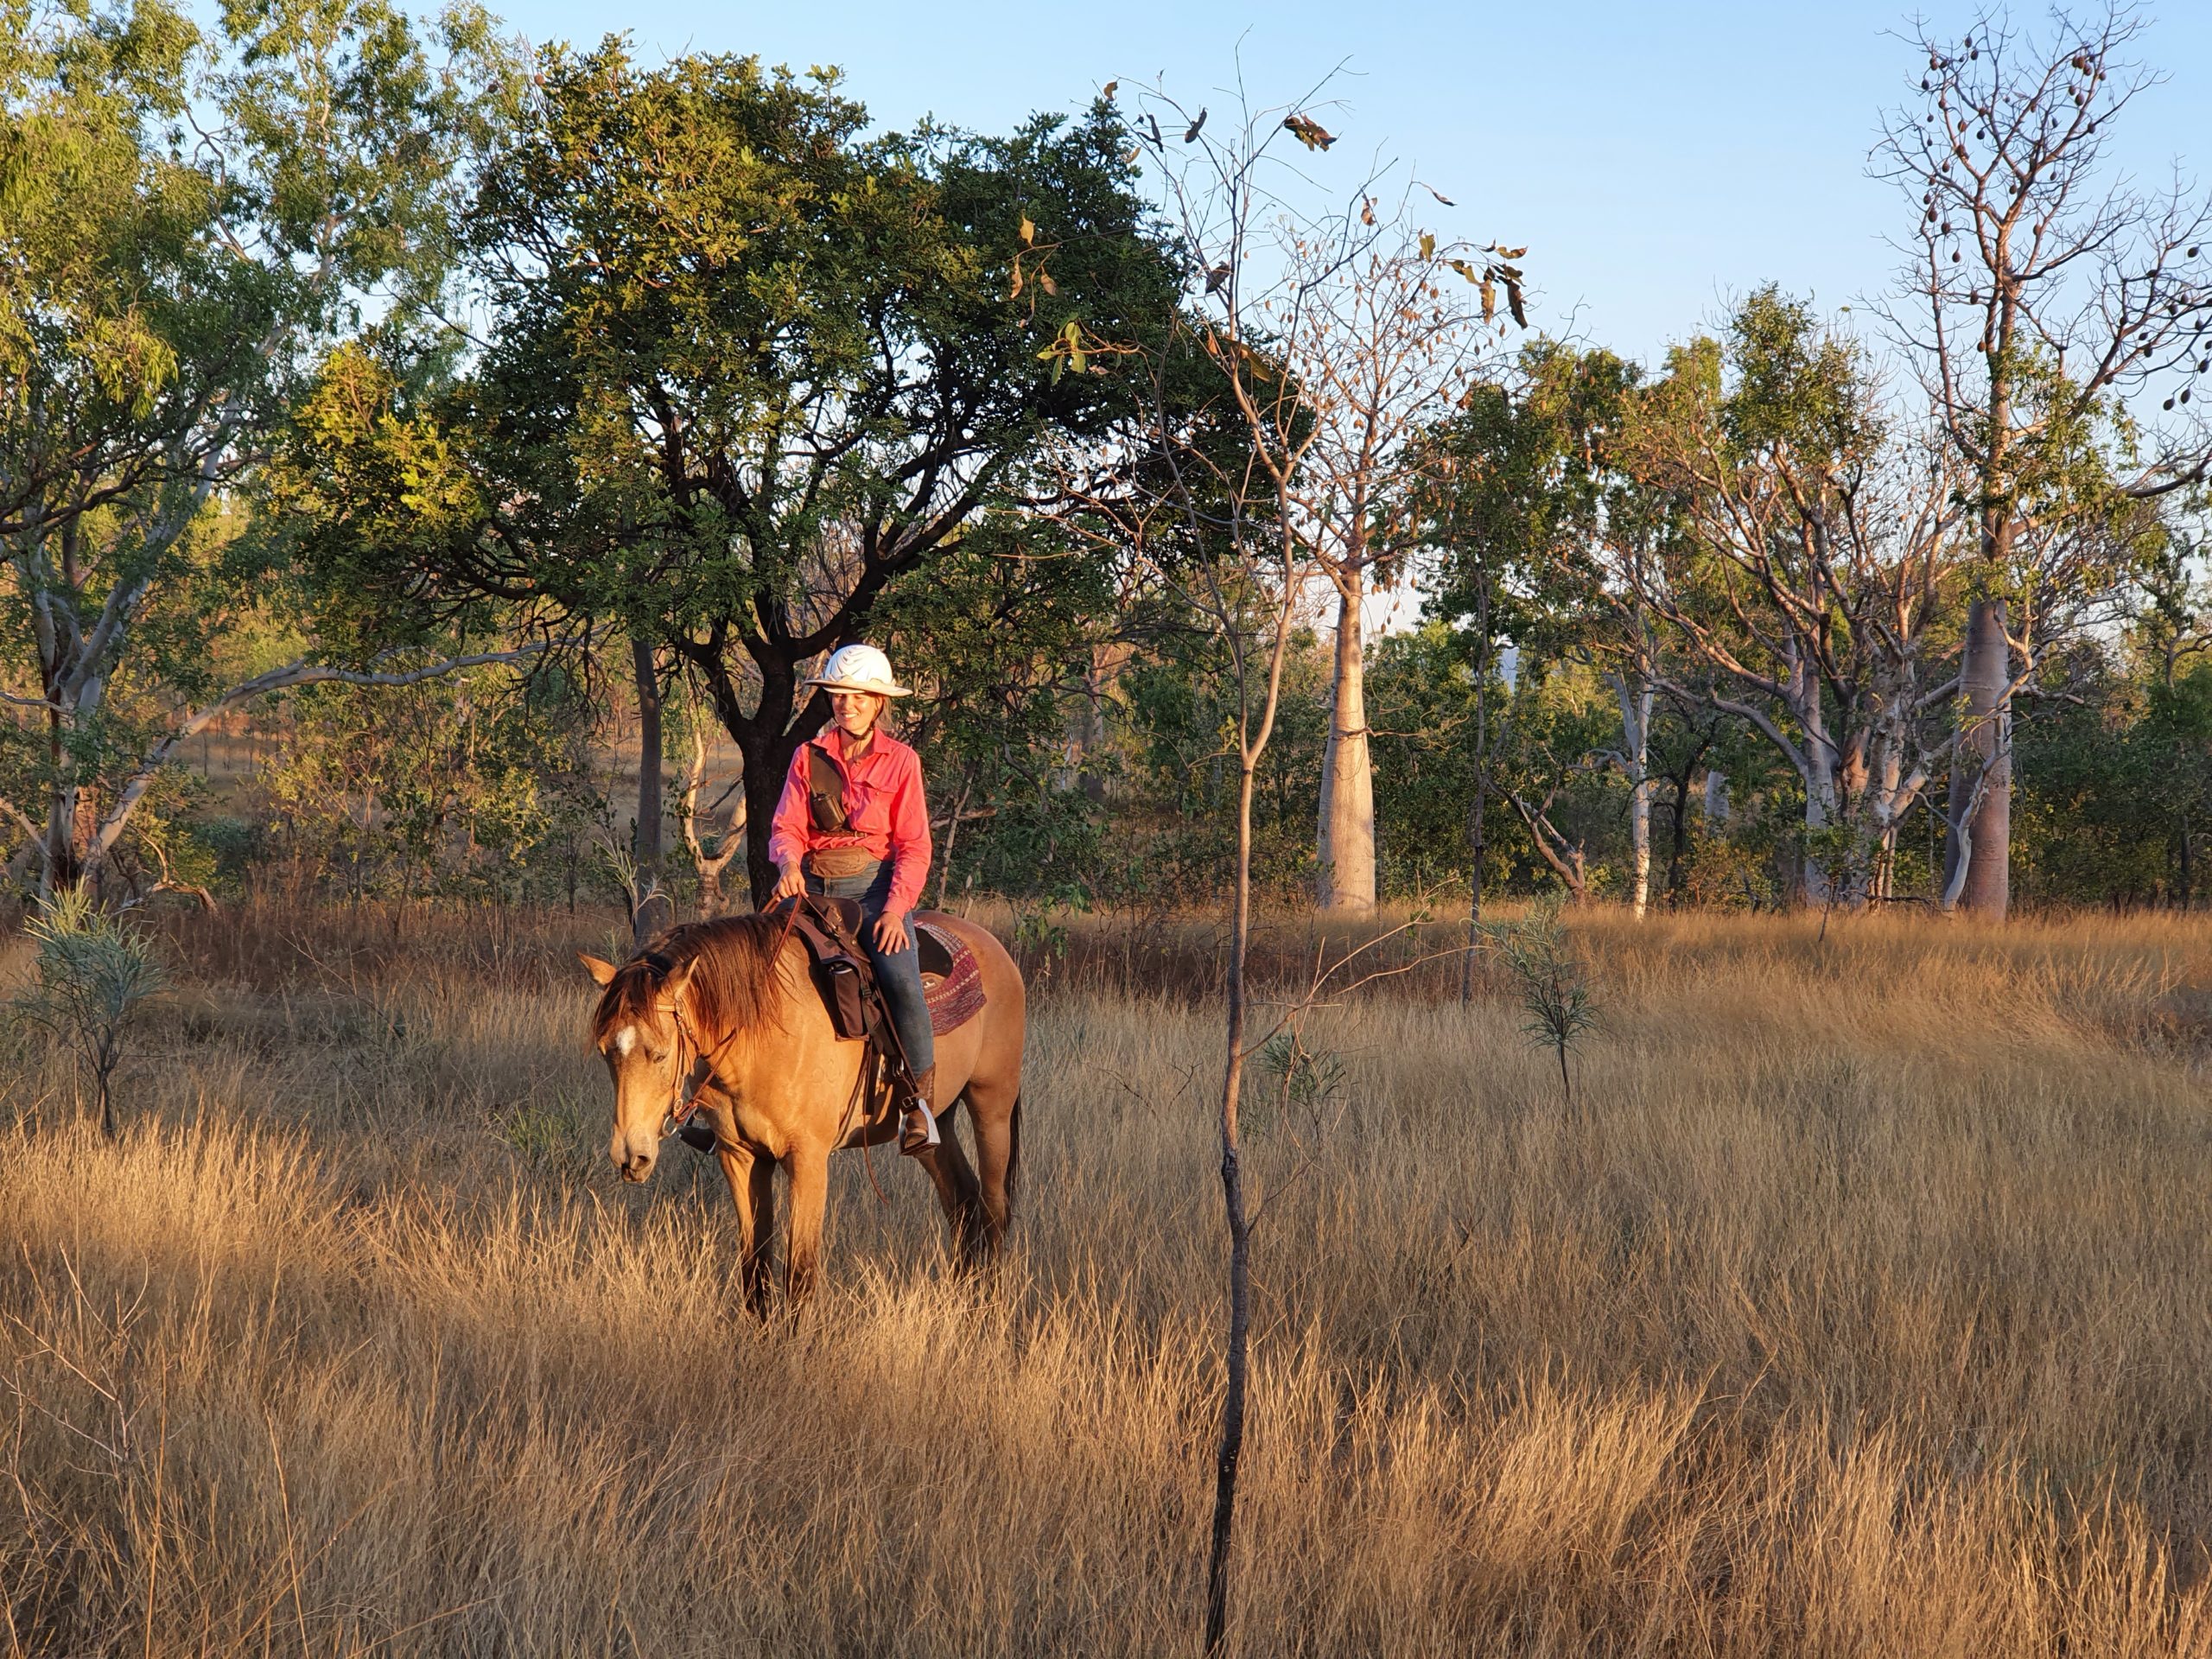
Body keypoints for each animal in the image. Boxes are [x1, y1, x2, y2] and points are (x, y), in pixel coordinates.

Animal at [580, 909, 1026, 1310]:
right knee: (962, 1199)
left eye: (659, 1054)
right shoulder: (740, 1157)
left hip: (992, 1106)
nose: (630, 1156)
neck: (763, 1034)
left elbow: (799, 1274)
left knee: (994, 1207)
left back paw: (990, 1306)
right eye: (605, 1053)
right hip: (935, 1125)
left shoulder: (808, 1161)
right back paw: (964, 1299)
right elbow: (755, 1271)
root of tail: (994, 949)